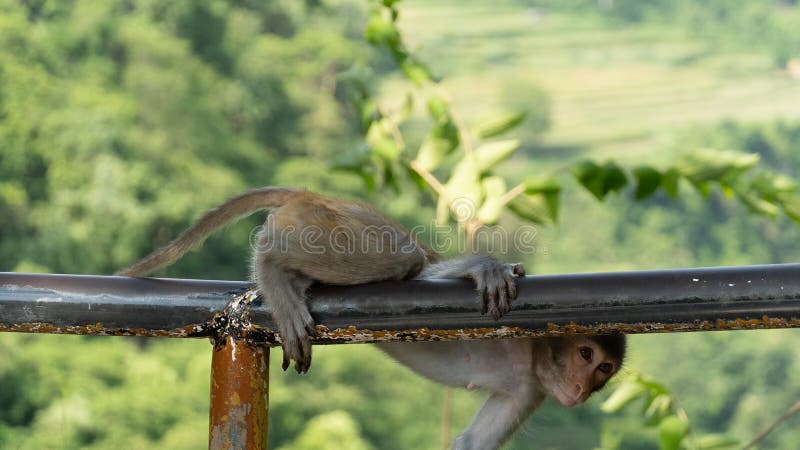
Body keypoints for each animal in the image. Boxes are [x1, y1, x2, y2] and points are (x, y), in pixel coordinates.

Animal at [117, 186, 626, 449]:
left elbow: (468, 446)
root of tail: (316, 194)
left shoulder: (531, 390)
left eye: (603, 368)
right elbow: (430, 273)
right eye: (585, 354)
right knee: (404, 259)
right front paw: (486, 267)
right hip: (353, 225)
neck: (531, 355)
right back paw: (272, 263)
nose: (581, 390)